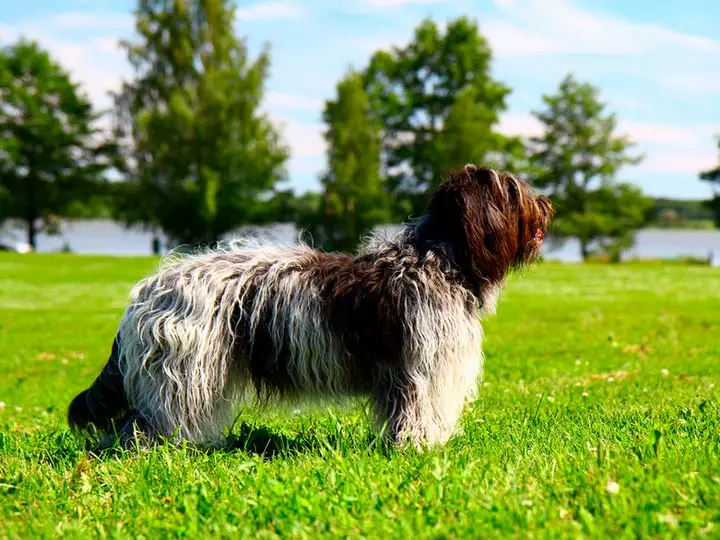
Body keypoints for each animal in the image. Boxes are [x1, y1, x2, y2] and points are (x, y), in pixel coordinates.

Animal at [67, 166, 556, 452]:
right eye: (513, 190)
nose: (549, 206)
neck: (437, 258)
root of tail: (148, 289)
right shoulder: (421, 368)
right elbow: (417, 412)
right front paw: (419, 450)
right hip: (182, 371)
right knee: (142, 423)